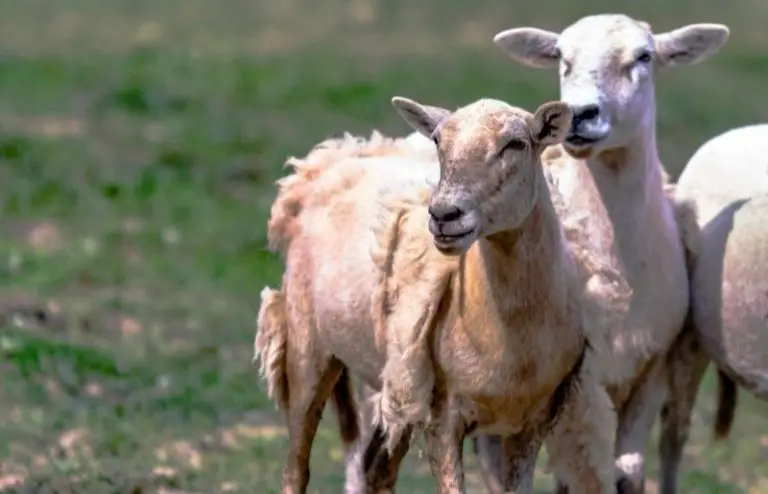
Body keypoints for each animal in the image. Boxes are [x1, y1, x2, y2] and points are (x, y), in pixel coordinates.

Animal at [485, 13, 730, 493]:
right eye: (561, 57)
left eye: (644, 56)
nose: (580, 114)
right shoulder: (580, 385)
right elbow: (582, 476)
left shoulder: (650, 369)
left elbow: (627, 472)